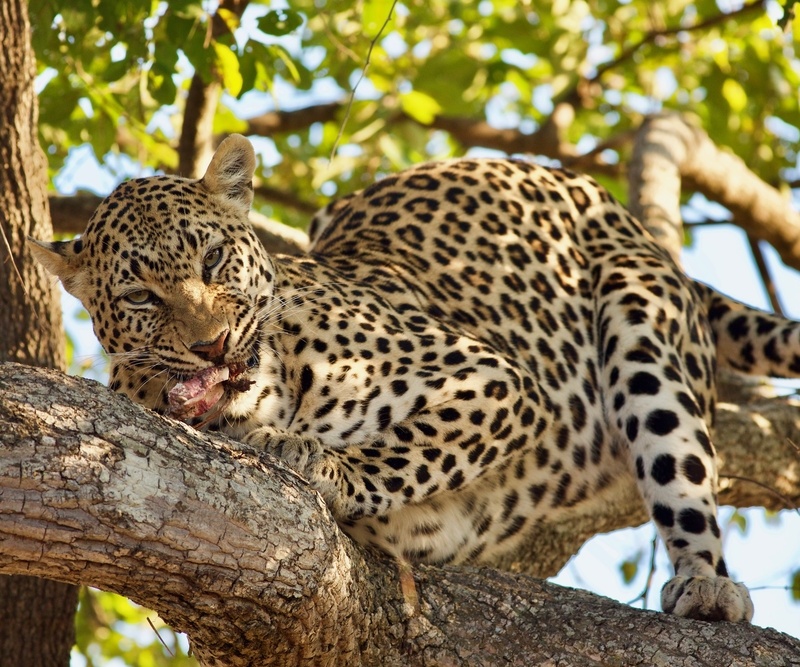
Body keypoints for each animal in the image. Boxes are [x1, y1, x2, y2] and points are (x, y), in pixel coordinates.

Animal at [31, 133, 800, 623]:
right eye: (141, 297)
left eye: (214, 258)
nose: (212, 343)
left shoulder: (495, 377)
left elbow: (410, 450)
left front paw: (313, 459)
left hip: (641, 324)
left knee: (684, 483)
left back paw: (706, 587)